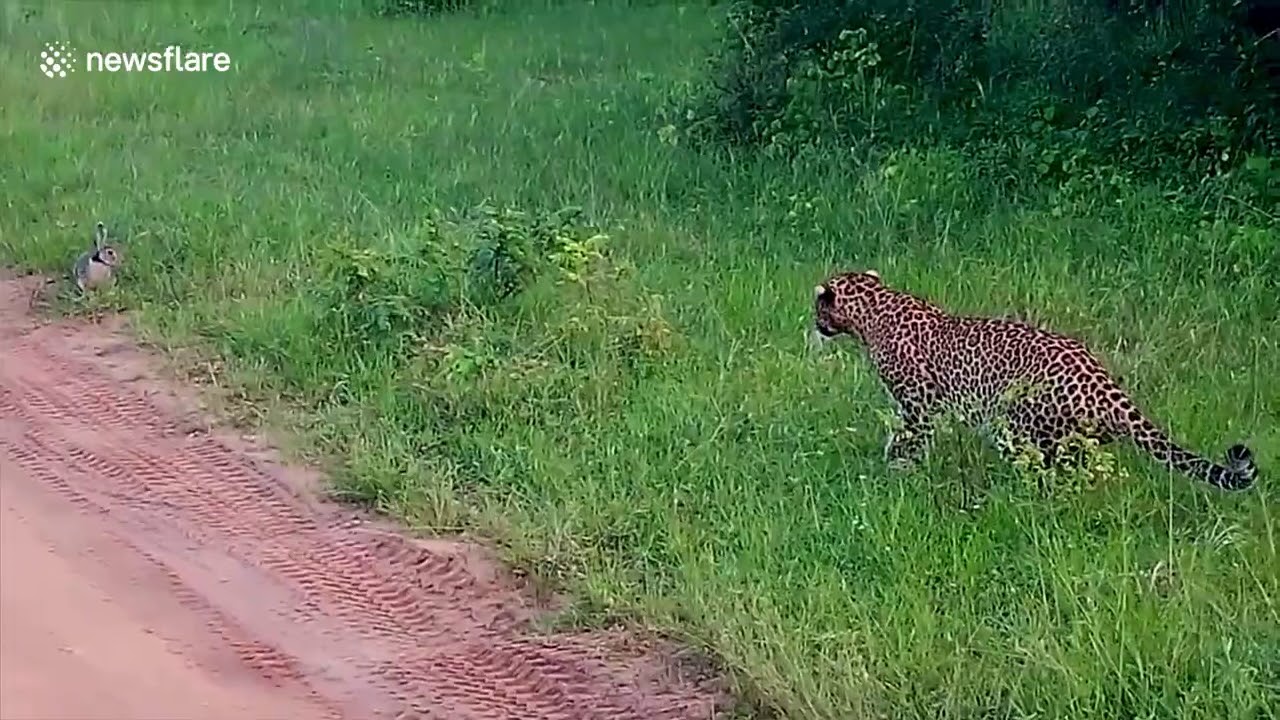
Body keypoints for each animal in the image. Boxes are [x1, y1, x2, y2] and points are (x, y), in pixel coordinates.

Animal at [810, 269, 1259, 491]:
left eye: (818, 308)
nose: (814, 324)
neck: (873, 308)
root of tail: (1103, 385)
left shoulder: (918, 403)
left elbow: (908, 436)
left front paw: (897, 468)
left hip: (1018, 425)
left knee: (1043, 469)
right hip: (1077, 438)